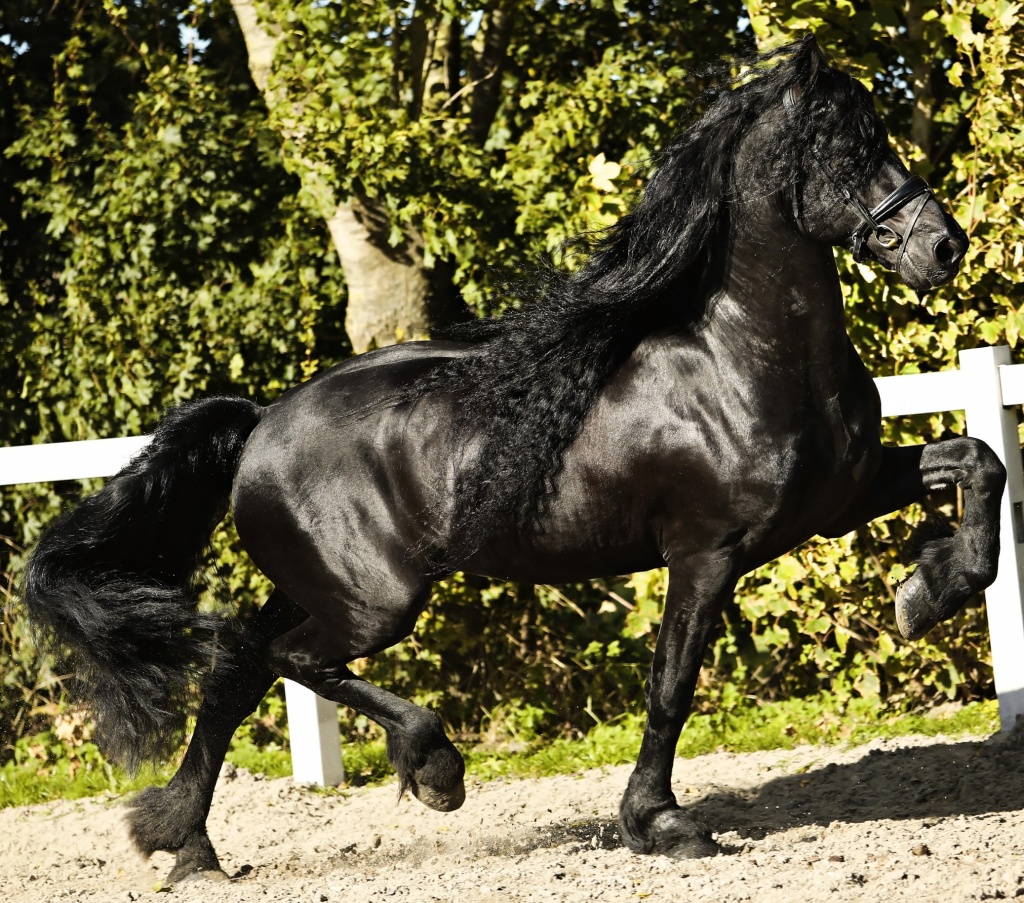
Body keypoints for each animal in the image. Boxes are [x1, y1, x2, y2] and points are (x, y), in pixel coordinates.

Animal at [23, 36, 1004, 882]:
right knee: (287, 659)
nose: (943, 245)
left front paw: (927, 593)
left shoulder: (837, 499)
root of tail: (260, 423)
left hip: (320, 587)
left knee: (237, 667)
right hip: (375, 603)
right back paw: (433, 766)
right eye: (843, 144)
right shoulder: (706, 552)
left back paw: (187, 844)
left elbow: (978, 460)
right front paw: (661, 823)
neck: (742, 360)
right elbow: (672, 684)